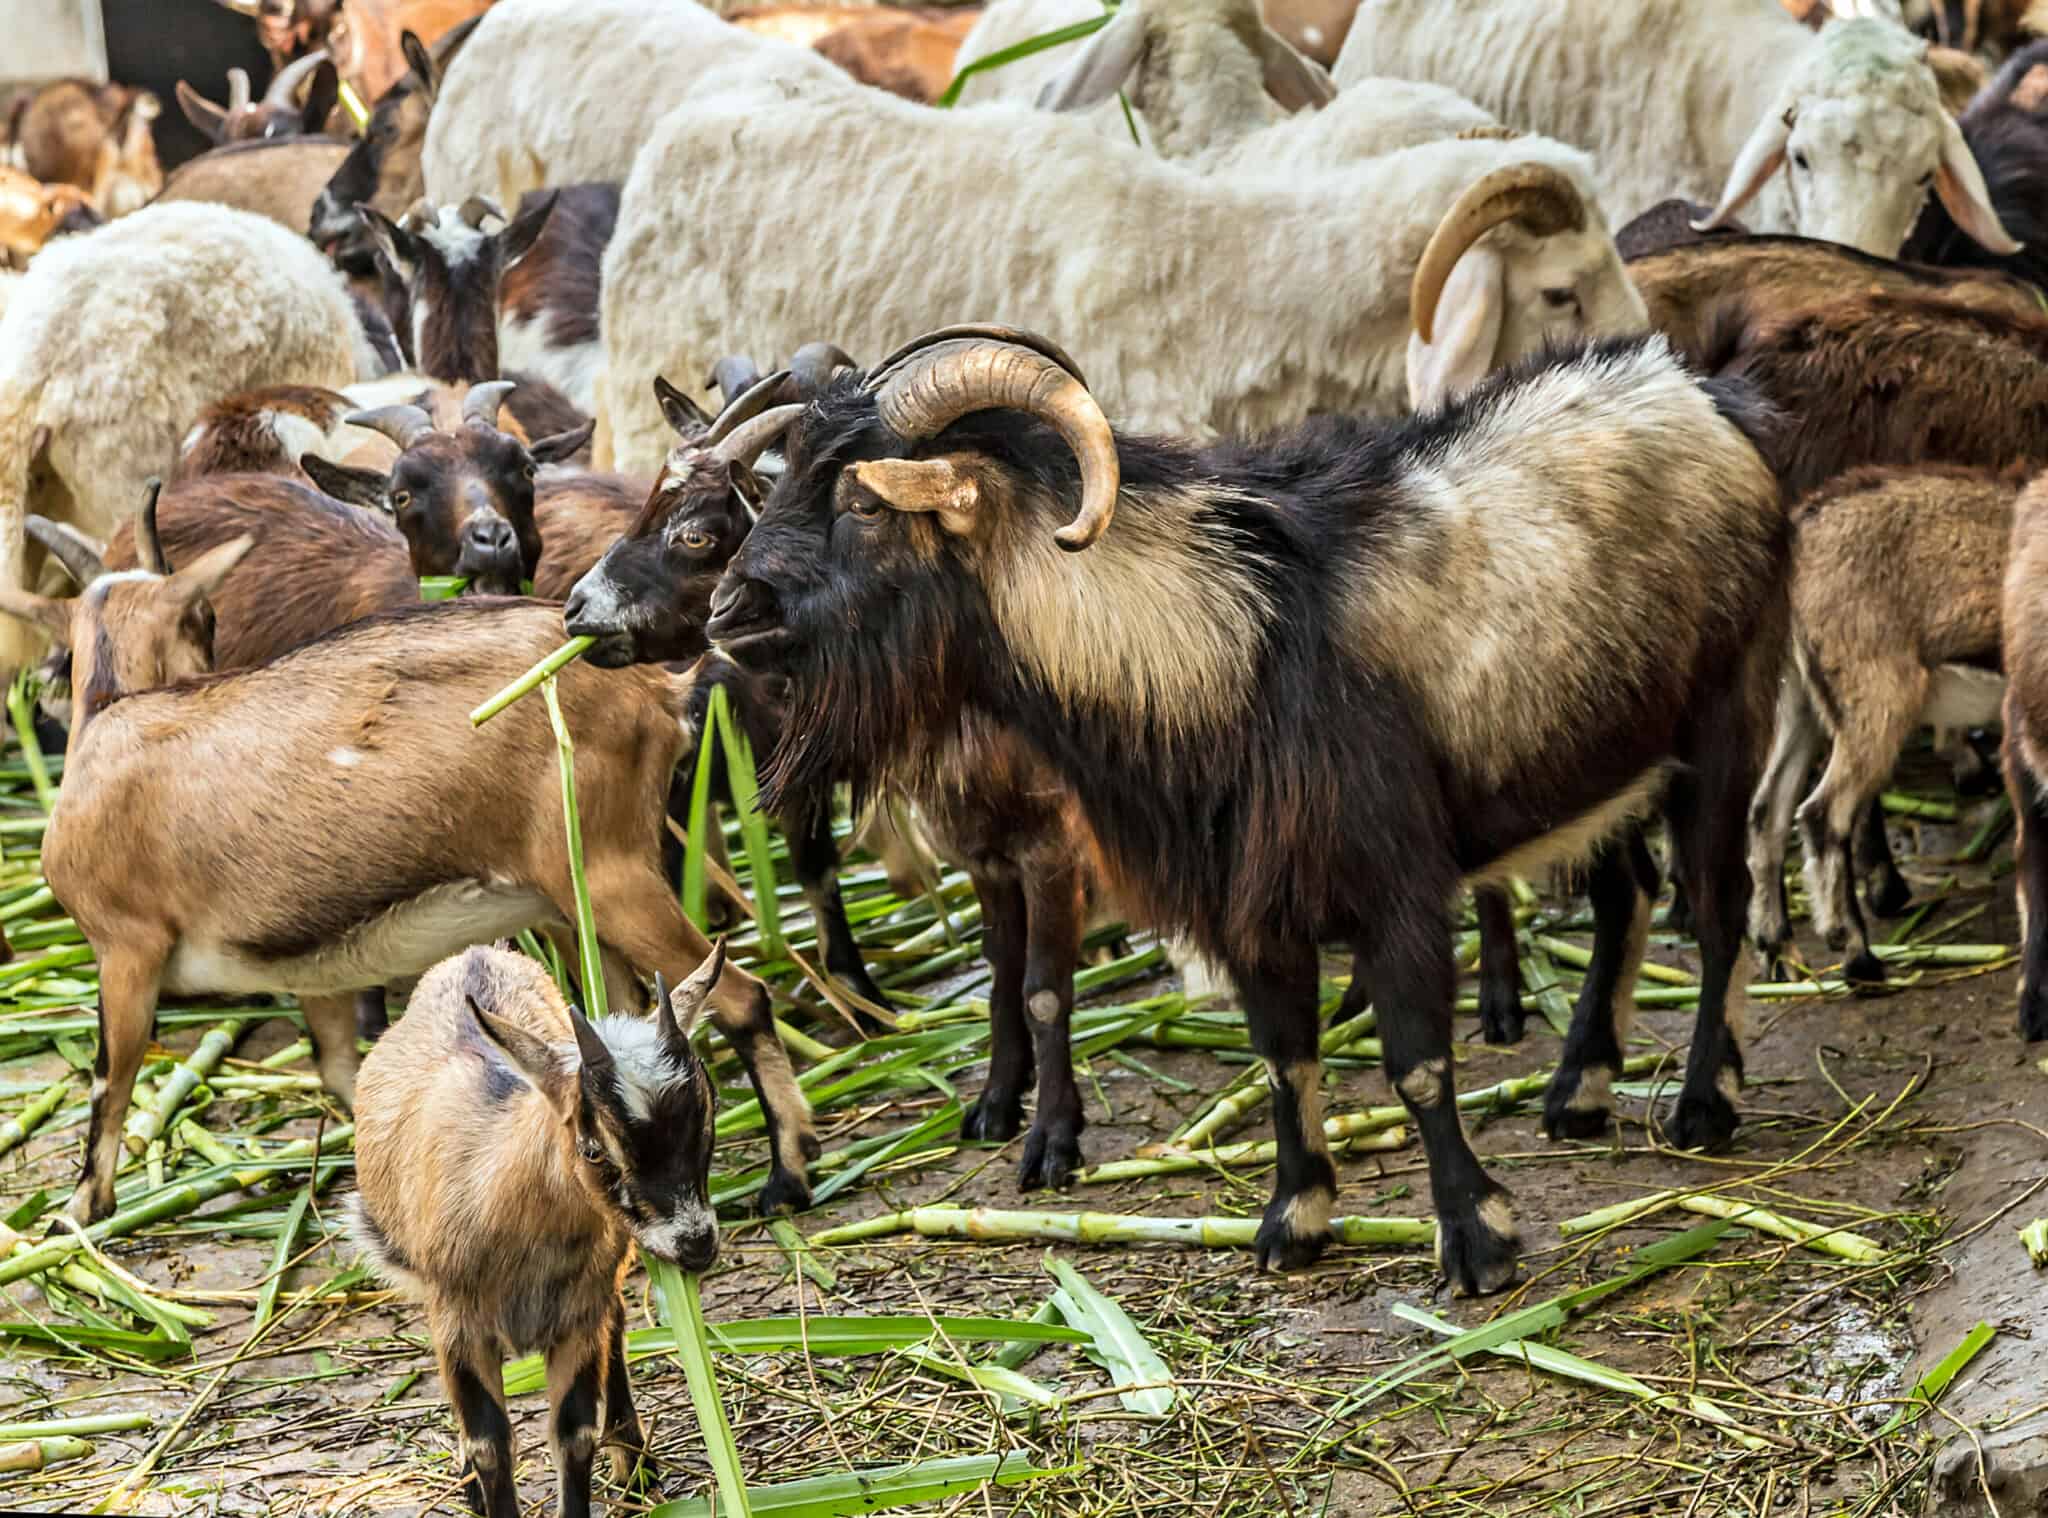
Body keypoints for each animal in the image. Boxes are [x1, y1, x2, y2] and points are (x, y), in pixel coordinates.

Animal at [3, 497, 814, 1225]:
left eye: (206, 617)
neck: (112, 720)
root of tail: (658, 689)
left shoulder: (126, 947)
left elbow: (110, 1081)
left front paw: (77, 1214)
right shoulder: (309, 970)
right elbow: (343, 1068)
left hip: (611, 871)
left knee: (743, 996)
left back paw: (789, 1177)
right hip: (577, 901)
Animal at [352, 943, 720, 1517]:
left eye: (709, 1117)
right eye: (594, 1150)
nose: (697, 1244)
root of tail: (477, 952)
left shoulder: (576, 1319)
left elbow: (573, 1434)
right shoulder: (459, 1323)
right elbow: (489, 1442)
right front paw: (482, 1485)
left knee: (616, 1323)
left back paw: (635, 1466)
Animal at [667, 326, 1787, 1292]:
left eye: (862, 504)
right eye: (782, 475)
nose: (729, 614)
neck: (1219, 649)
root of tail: (1701, 394)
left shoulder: (1395, 889)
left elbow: (1419, 1064)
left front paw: (1477, 1239)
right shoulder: (1244, 903)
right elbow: (1284, 1055)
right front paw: (1296, 1219)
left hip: (1723, 723)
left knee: (1718, 907)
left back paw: (1702, 1104)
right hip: (1602, 763)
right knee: (1625, 895)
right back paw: (1579, 1089)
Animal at [1747, 465, 2013, 983]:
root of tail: (1798, 534)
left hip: (1798, 700)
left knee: (1767, 810)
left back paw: (1780, 951)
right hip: (1876, 701)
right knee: (1822, 813)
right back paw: (1855, 952)